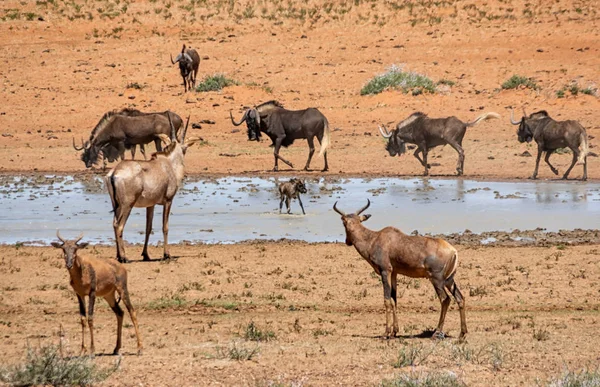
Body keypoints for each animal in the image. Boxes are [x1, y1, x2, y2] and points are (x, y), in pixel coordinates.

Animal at [50, 230, 142, 358]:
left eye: (75, 249)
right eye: (63, 249)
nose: (69, 264)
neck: (82, 269)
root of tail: (121, 267)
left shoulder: (92, 293)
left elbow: (90, 318)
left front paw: (92, 350)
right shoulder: (80, 295)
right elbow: (83, 319)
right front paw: (82, 350)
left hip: (122, 289)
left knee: (132, 311)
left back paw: (139, 349)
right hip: (109, 296)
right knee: (120, 313)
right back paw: (116, 348)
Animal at [106, 113, 202, 264]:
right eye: (184, 148)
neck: (169, 164)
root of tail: (115, 172)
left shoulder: (150, 205)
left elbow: (148, 227)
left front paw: (146, 255)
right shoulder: (168, 201)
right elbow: (165, 227)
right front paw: (167, 254)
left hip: (117, 205)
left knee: (114, 223)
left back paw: (118, 256)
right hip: (127, 205)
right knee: (119, 226)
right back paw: (124, 257)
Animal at [332, 202, 468, 342]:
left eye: (343, 222)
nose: (347, 242)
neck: (376, 239)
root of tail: (453, 251)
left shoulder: (385, 271)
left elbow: (387, 300)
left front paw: (386, 333)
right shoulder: (394, 273)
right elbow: (394, 300)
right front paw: (394, 332)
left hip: (437, 280)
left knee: (445, 299)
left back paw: (436, 333)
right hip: (449, 280)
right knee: (460, 298)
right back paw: (462, 334)